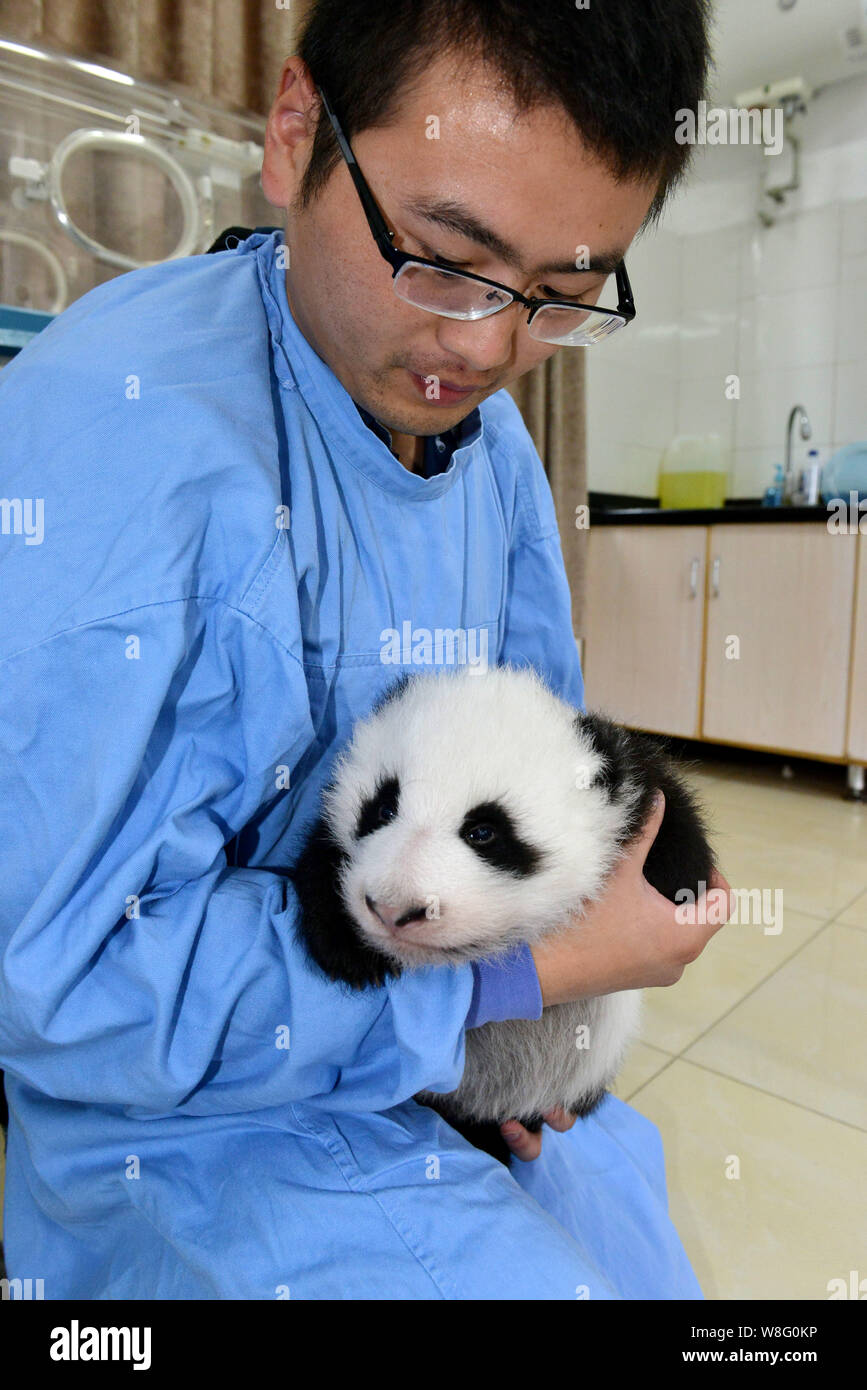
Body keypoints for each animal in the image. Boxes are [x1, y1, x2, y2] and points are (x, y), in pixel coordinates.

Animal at [289, 663, 714, 1166]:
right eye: (383, 807)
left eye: (484, 832)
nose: (393, 910)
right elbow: (322, 850)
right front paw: (346, 947)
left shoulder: (632, 786)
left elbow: (682, 855)